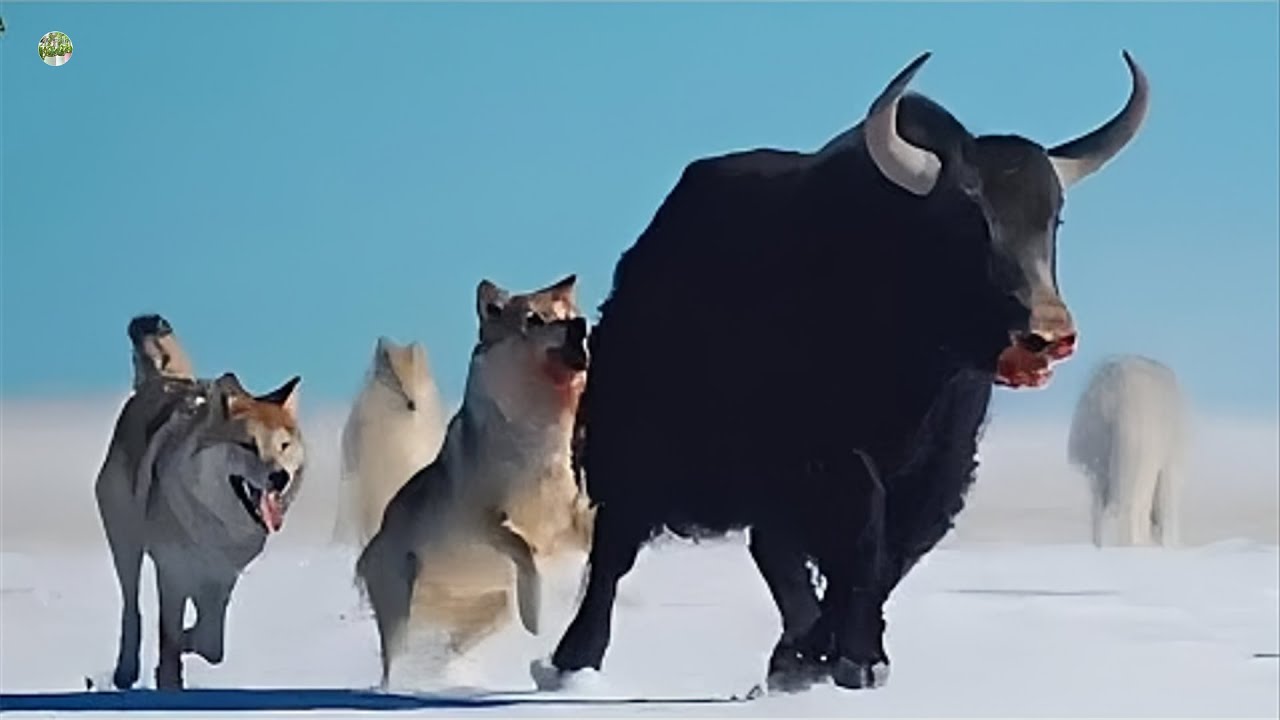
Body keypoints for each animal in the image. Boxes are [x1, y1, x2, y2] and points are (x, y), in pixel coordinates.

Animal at [94, 315, 306, 690]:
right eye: (248, 445)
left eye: (283, 446)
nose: (279, 477)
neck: (214, 521)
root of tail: (165, 380)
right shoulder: (173, 570)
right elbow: (171, 634)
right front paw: (168, 676)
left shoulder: (222, 576)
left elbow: (211, 644)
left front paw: (187, 644)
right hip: (125, 544)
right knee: (132, 608)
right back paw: (126, 671)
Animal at [356, 274, 596, 688]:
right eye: (534, 319)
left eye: (569, 315)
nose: (581, 326)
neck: (534, 441)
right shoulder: (480, 524)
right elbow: (523, 548)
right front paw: (536, 616)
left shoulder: (567, 522)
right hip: (400, 604)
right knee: (396, 658)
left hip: (488, 614)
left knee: (446, 648)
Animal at [1068, 354, 1189, 547]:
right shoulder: (1171, 454)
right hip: (1141, 438)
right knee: (1136, 501)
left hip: (1093, 432)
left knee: (1099, 499)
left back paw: (1101, 543)